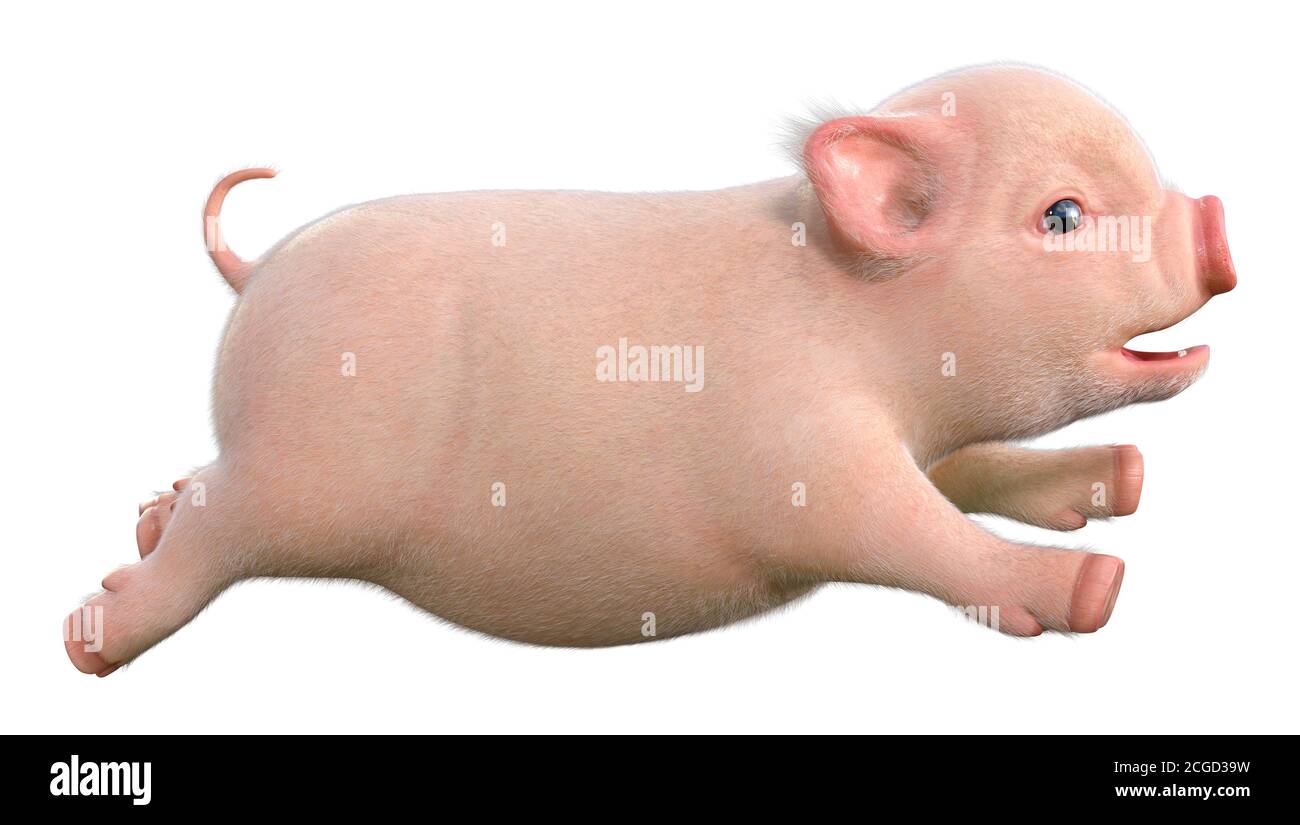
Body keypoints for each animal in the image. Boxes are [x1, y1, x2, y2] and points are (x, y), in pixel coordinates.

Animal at [65, 64, 1235, 676]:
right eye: (1062, 216)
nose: (1216, 219)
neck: (861, 311)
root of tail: (259, 270)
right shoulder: (803, 459)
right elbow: (910, 529)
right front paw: (1092, 587)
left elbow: (965, 470)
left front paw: (1121, 479)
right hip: (305, 474)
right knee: (217, 525)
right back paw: (93, 638)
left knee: (199, 490)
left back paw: (146, 517)